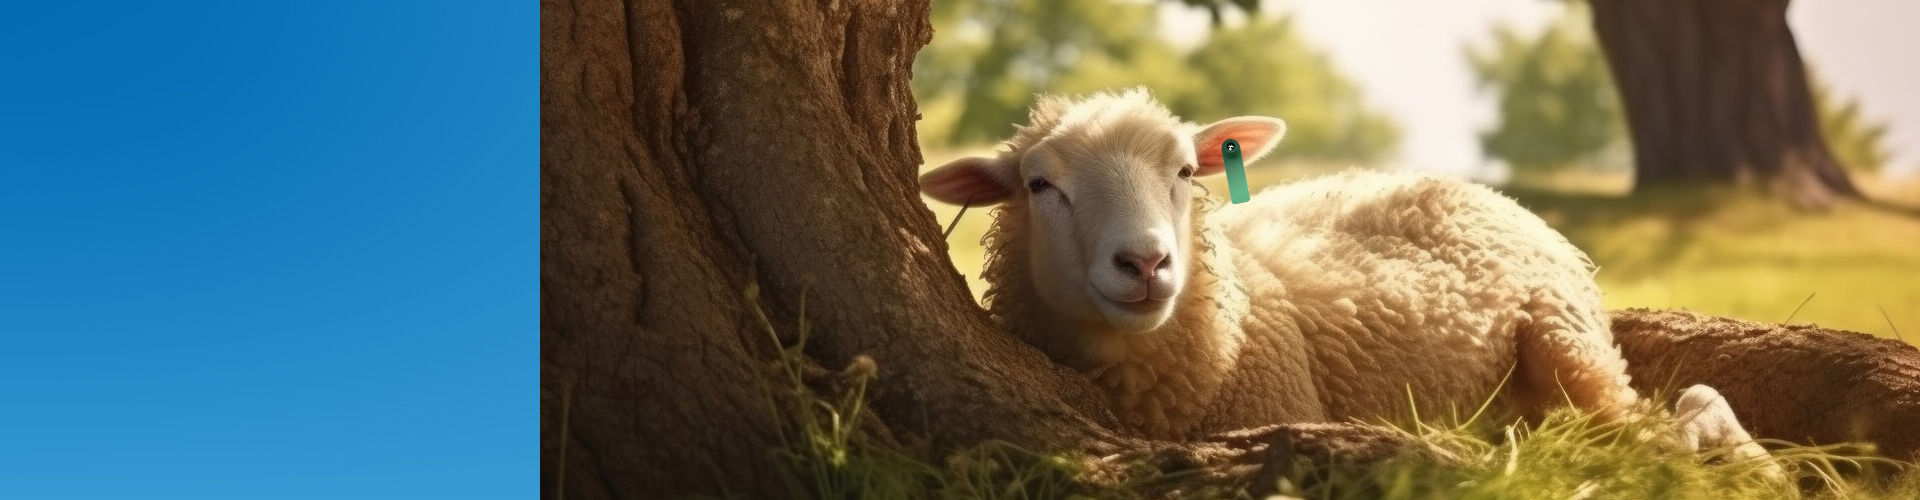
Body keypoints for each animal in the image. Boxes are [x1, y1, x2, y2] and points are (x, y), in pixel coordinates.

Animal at [920, 88, 1768, 461]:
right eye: (1040, 185)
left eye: (1187, 170)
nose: (1147, 262)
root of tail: (1485, 190)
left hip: (1570, 344)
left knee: (1669, 416)